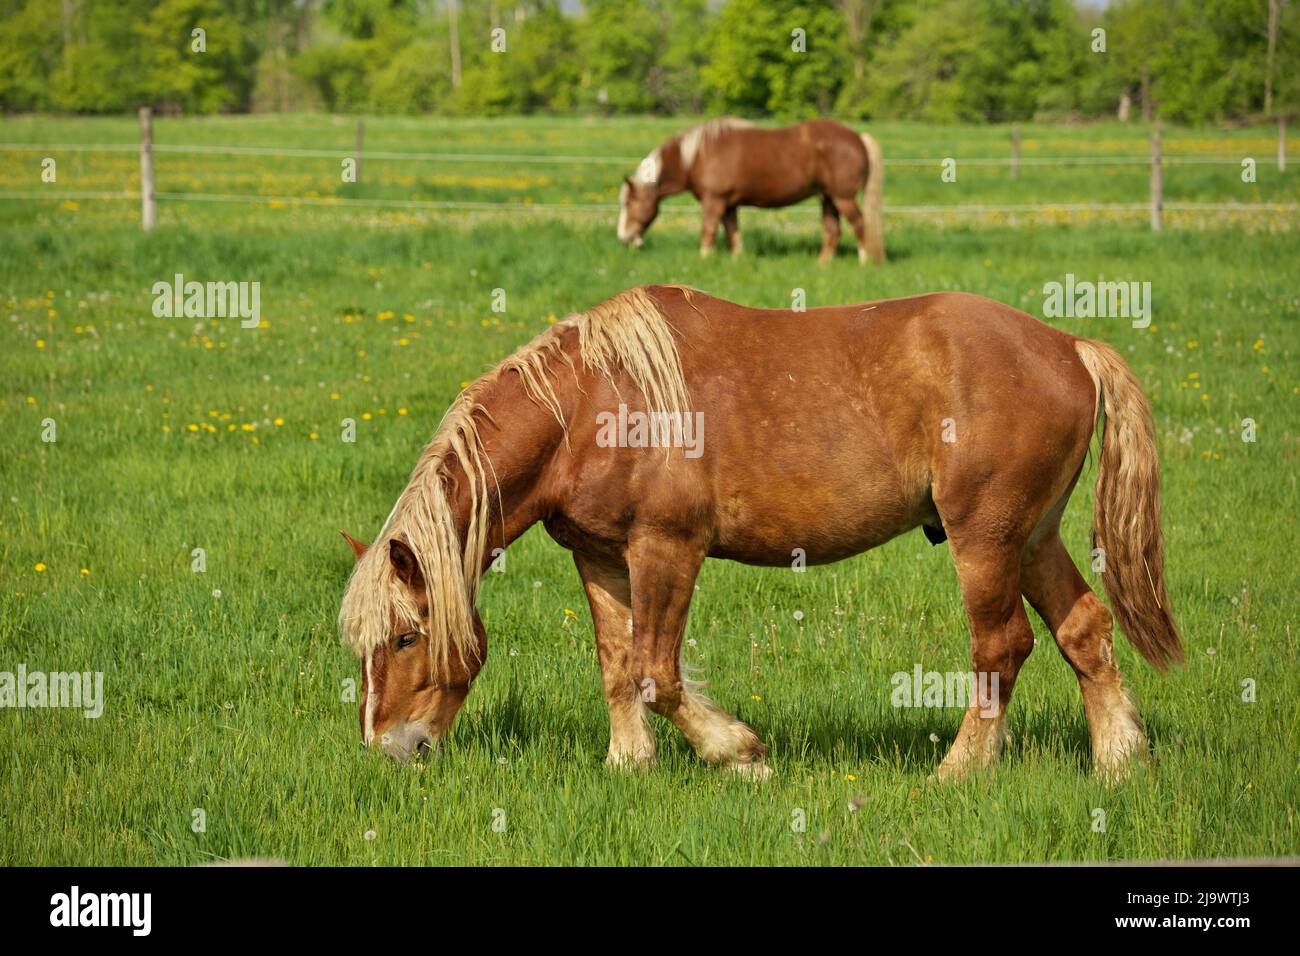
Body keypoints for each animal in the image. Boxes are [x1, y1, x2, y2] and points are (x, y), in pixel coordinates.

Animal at [339, 285, 1182, 780]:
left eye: (408, 637)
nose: (387, 748)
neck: (589, 403)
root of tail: (1070, 348)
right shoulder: (601, 557)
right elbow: (617, 667)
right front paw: (629, 764)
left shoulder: (668, 549)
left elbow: (656, 670)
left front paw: (740, 754)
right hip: (1032, 537)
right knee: (1084, 629)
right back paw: (1119, 762)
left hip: (988, 538)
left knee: (1001, 647)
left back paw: (958, 773)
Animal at [617, 118, 886, 264]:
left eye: (629, 203)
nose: (623, 238)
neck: (696, 156)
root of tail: (858, 137)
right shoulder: (729, 205)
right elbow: (733, 234)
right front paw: (737, 260)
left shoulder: (714, 201)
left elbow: (708, 231)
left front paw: (704, 258)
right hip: (828, 199)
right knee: (833, 231)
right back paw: (822, 264)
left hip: (843, 198)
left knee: (859, 224)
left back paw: (864, 261)